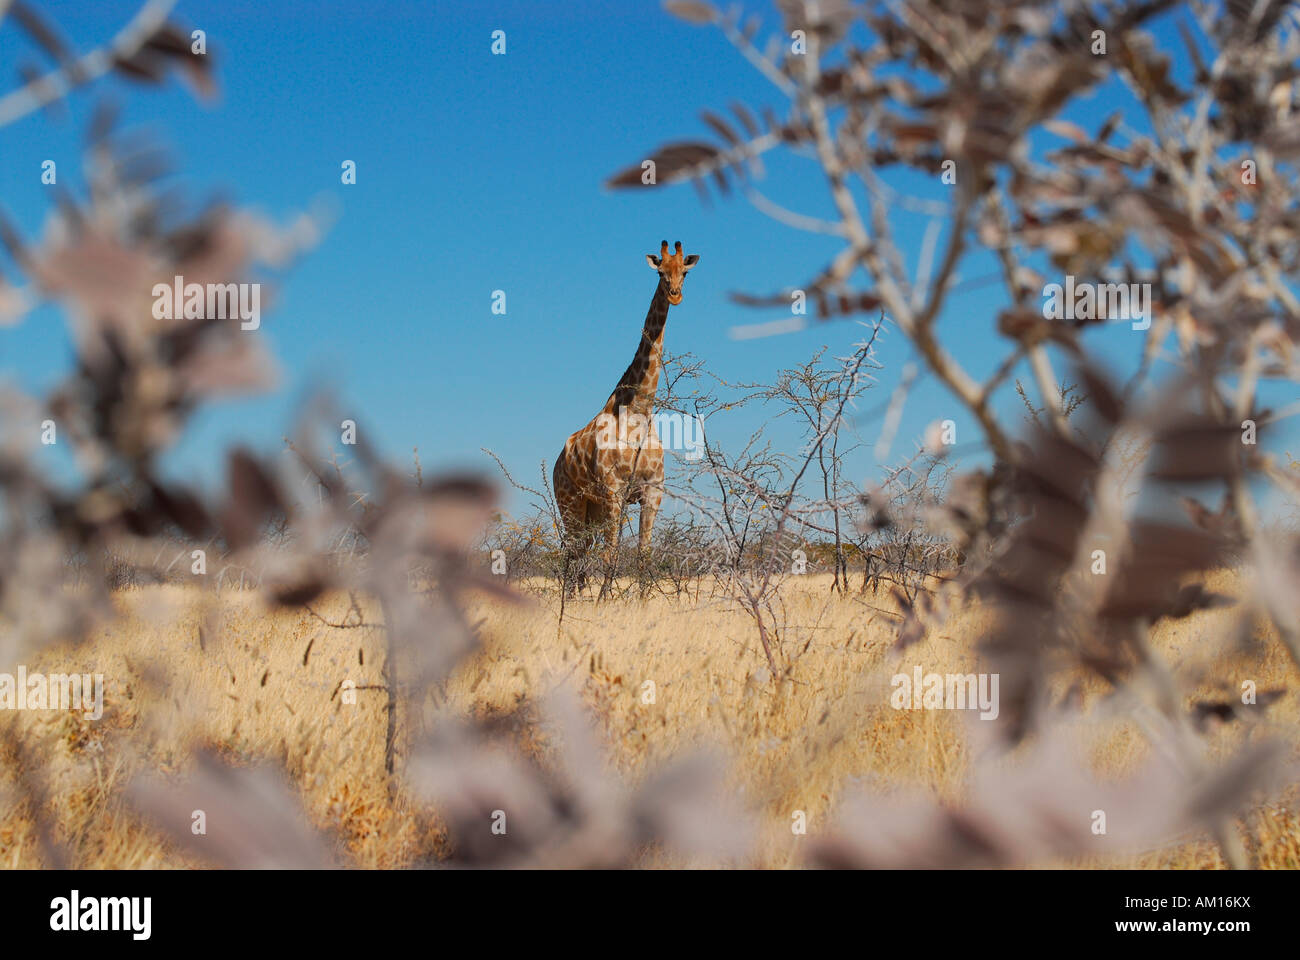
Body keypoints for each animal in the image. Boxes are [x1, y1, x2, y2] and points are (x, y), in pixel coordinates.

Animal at [552, 240, 700, 596]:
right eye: (660, 272)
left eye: (685, 272)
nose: (675, 294)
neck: (638, 411)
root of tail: (557, 462)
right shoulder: (614, 491)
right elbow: (612, 554)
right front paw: (605, 600)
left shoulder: (652, 492)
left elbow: (644, 554)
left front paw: (641, 600)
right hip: (570, 502)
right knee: (572, 551)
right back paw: (573, 598)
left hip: (590, 509)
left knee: (582, 550)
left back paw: (578, 596)